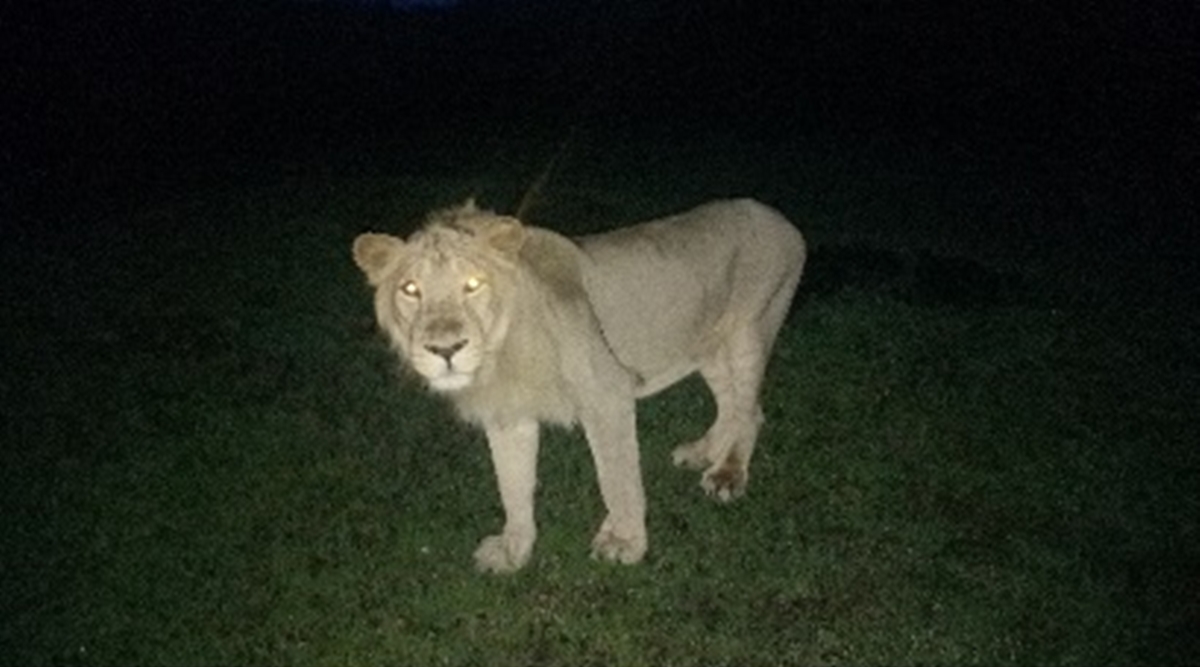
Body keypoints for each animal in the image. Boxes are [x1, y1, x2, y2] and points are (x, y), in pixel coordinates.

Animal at [352, 198, 806, 573]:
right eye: (411, 289)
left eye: (474, 284)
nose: (446, 349)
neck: (502, 346)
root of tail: (780, 219)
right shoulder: (509, 413)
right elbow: (512, 484)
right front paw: (515, 550)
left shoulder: (607, 395)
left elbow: (616, 477)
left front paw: (623, 541)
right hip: (707, 346)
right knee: (732, 405)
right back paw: (703, 452)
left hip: (749, 331)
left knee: (749, 409)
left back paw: (728, 474)